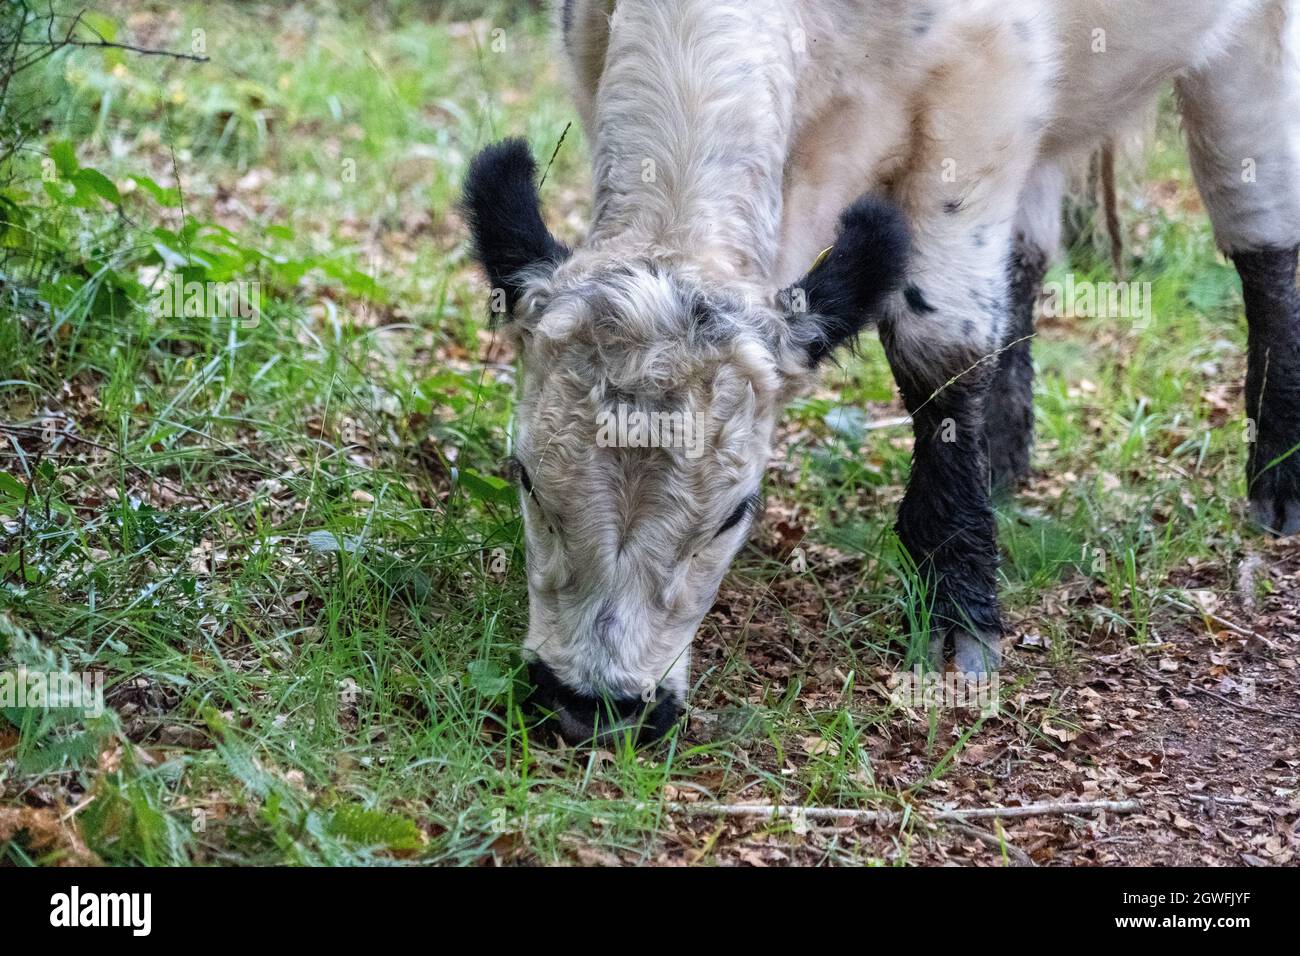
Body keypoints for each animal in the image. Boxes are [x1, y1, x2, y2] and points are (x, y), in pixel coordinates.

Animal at [461, 0, 1300, 744]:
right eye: (525, 477)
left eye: (736, 513)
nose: (591, 708)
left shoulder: (982, 94)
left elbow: (941, 348)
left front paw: (957, 609)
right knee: (1026, 258)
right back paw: (1005, 463)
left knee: (1265, 242)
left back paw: (1279, 483)